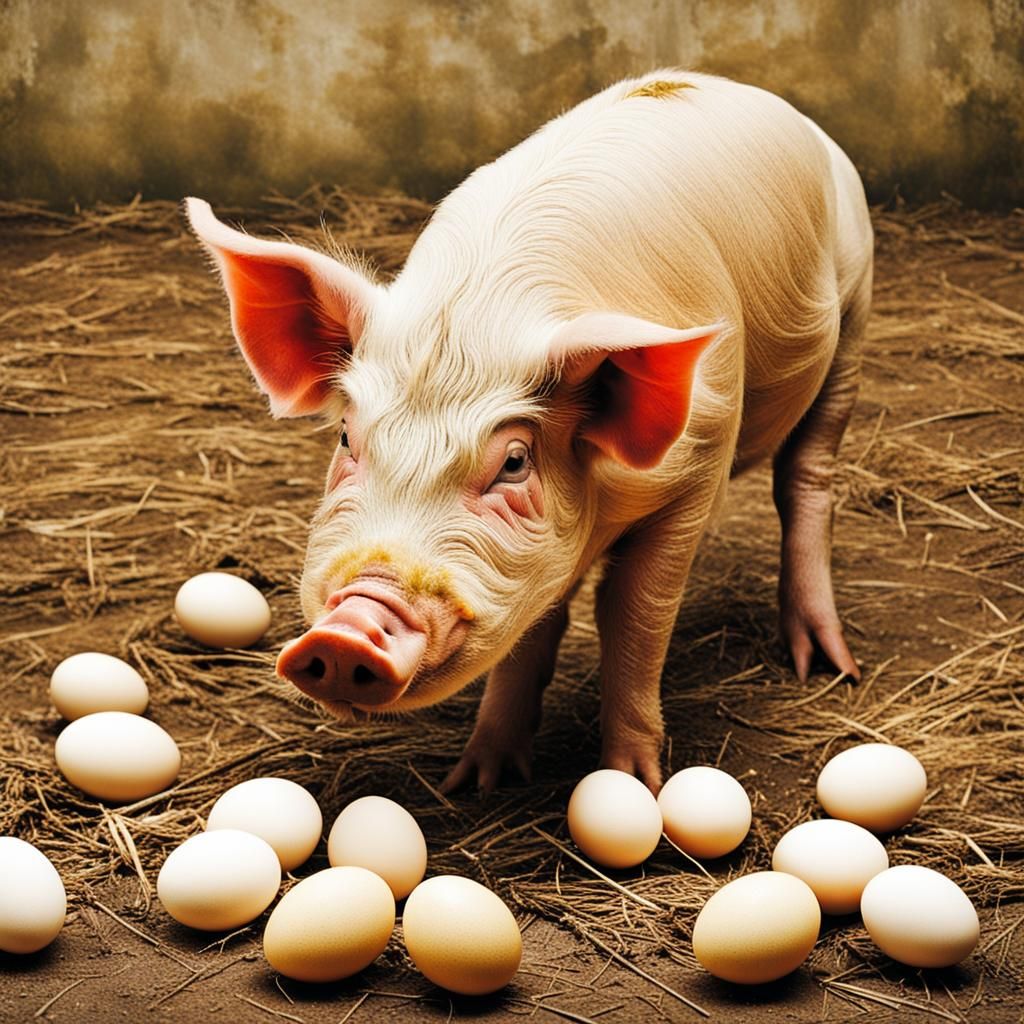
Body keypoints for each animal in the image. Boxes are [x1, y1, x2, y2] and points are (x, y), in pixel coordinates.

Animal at [186, 70, 872, 793]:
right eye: (347, 437)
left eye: (514, 462)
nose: (345, 632)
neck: (479, 321)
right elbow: (534, 629)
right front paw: (476, 781)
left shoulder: (698, 467)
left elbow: (636, 617)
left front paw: (635, 785)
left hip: (855, 308)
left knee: (807, 474)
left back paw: (827, 665)